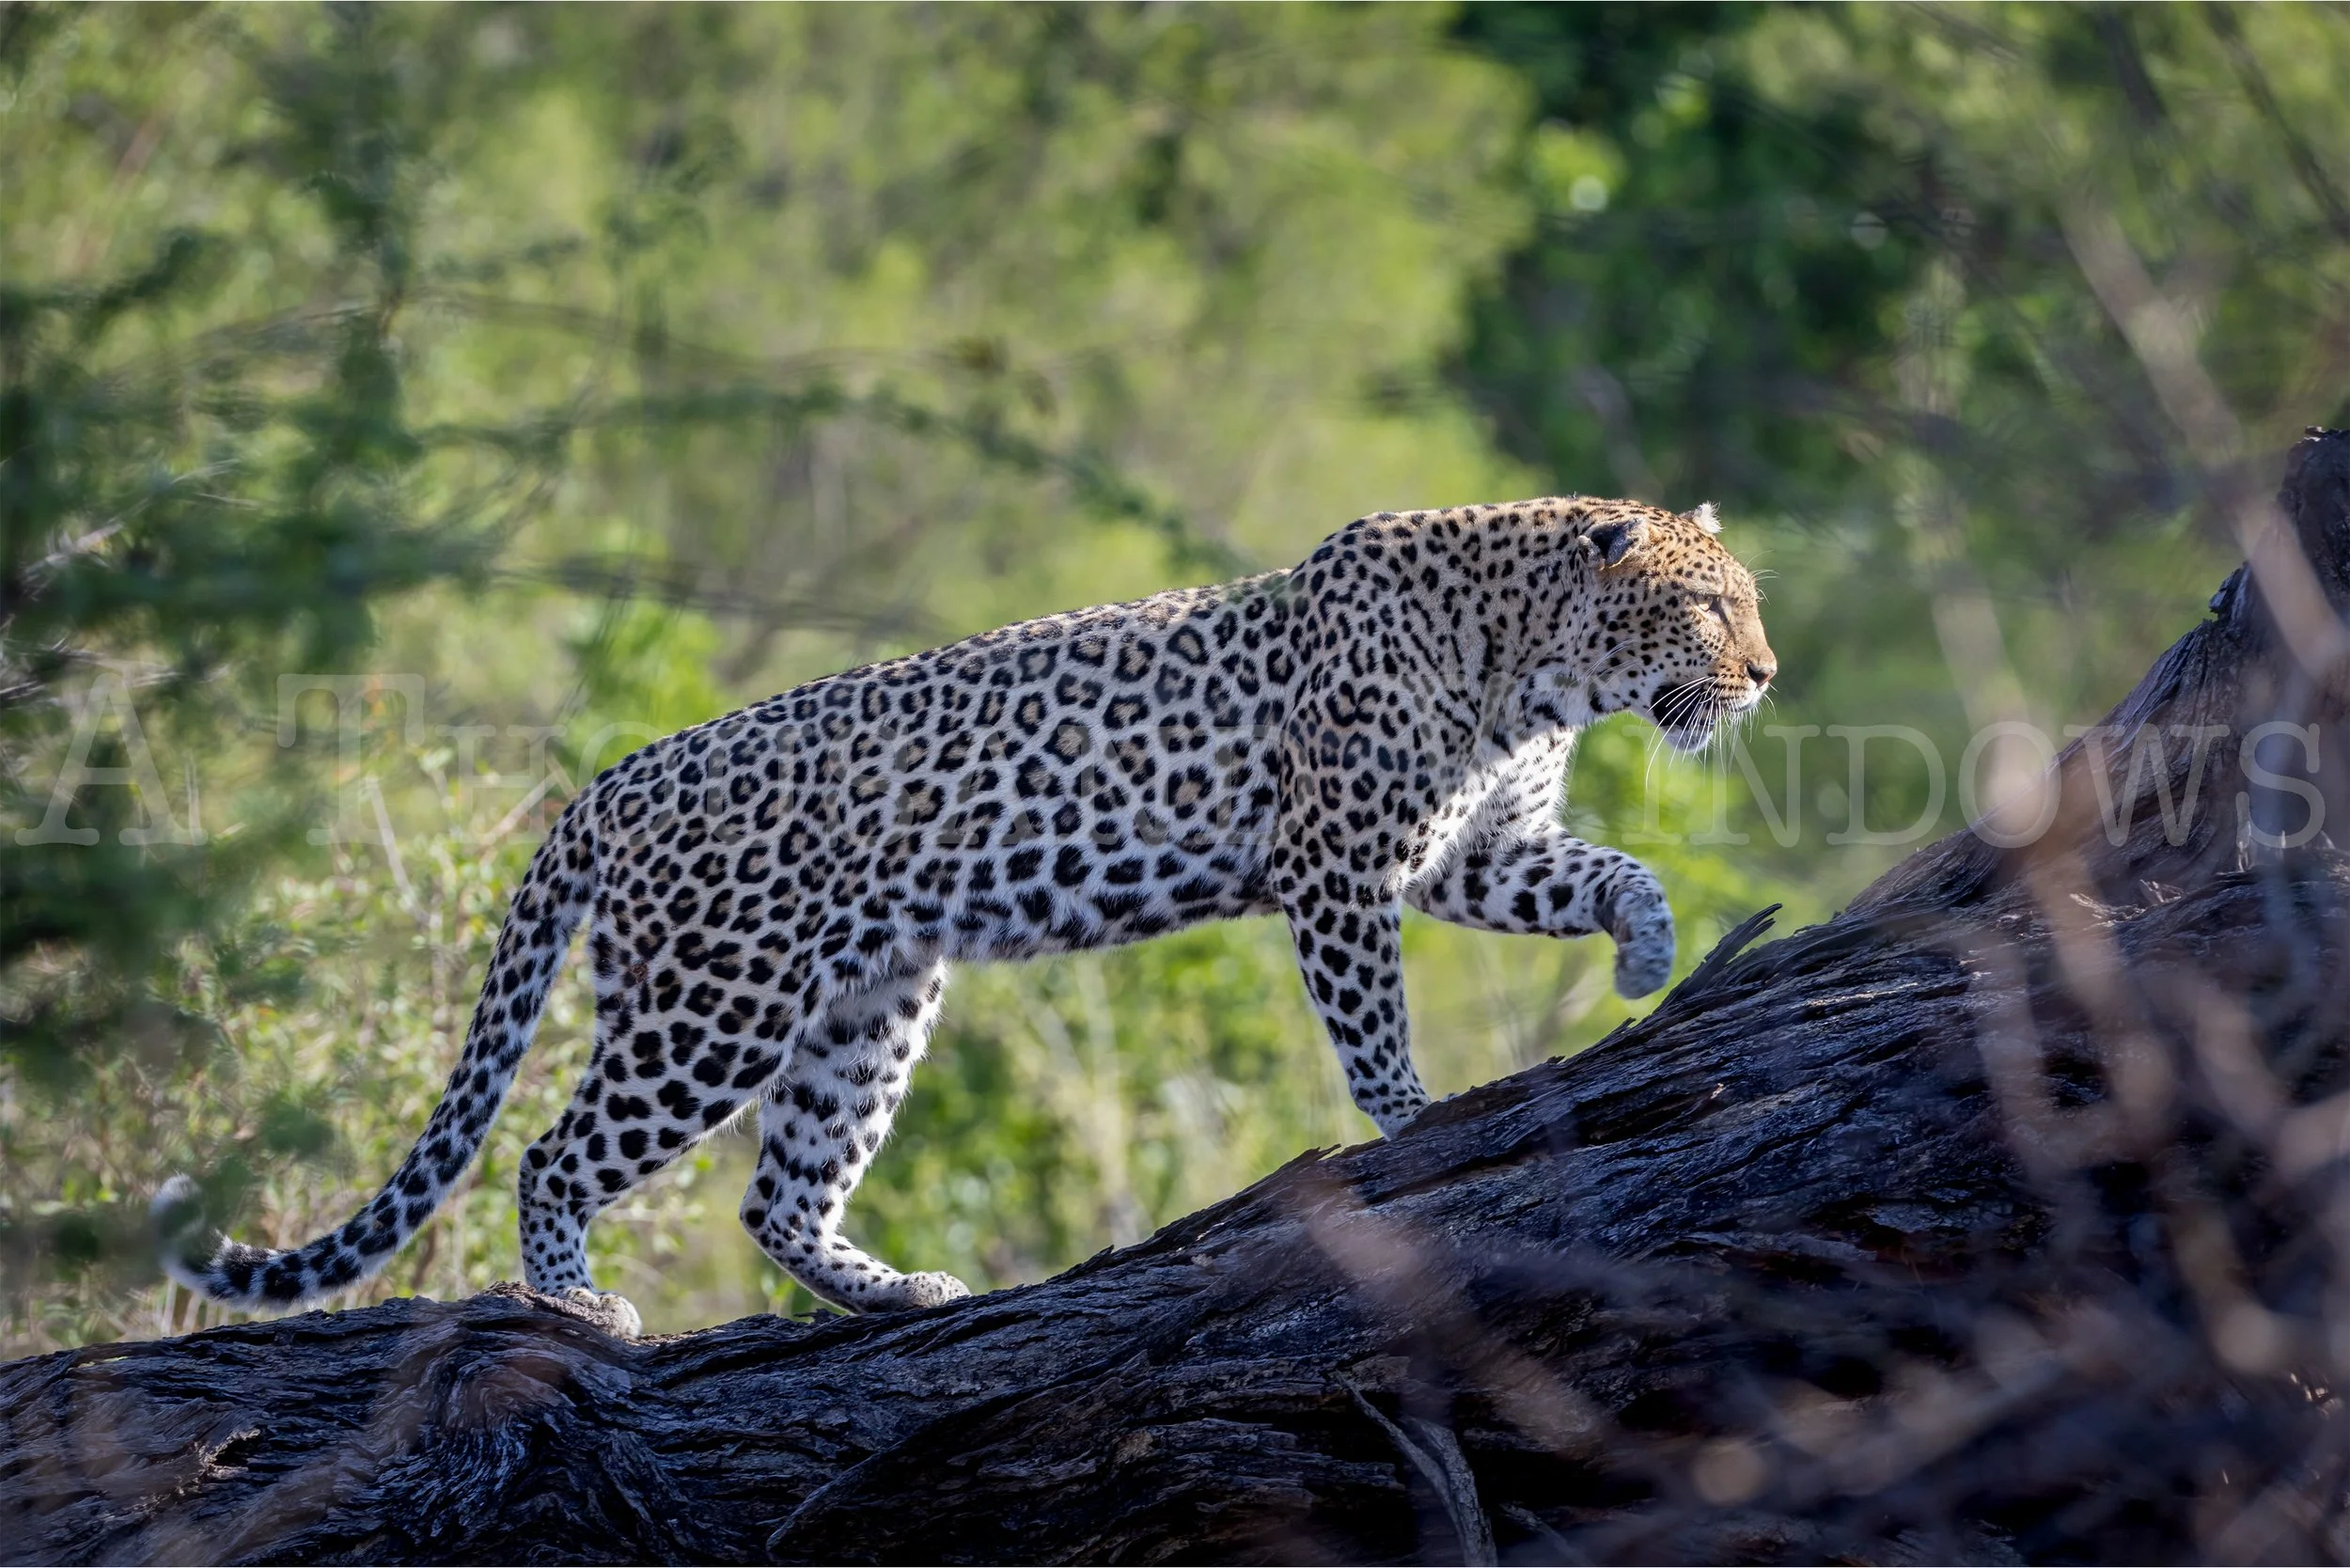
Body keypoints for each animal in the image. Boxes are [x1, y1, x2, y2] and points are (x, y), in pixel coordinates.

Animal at [157, 495, 1776, 1337]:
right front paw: (1413, 1119)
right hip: (713, 1006)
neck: (1539, 673)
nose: (1765, 676)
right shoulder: (1341, 867)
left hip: (867, 1004)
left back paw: (896, 1295)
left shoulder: (1474, 852)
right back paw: (573, 1306)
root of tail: (610, 782)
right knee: (558, 1152)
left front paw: (1649, 951)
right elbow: (1368, 1020)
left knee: (778, 1193)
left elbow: (1613, 872)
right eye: (1710, 608)